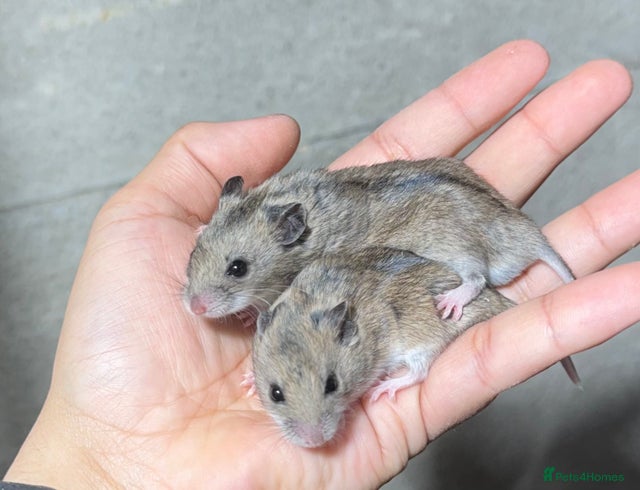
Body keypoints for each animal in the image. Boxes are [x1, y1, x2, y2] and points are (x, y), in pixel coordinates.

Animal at [252, 247, 515, 448]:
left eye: (332, 384)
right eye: (275, 394)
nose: (315, 442)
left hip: (421, 337)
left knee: (419, 373)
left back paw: (384, 388)